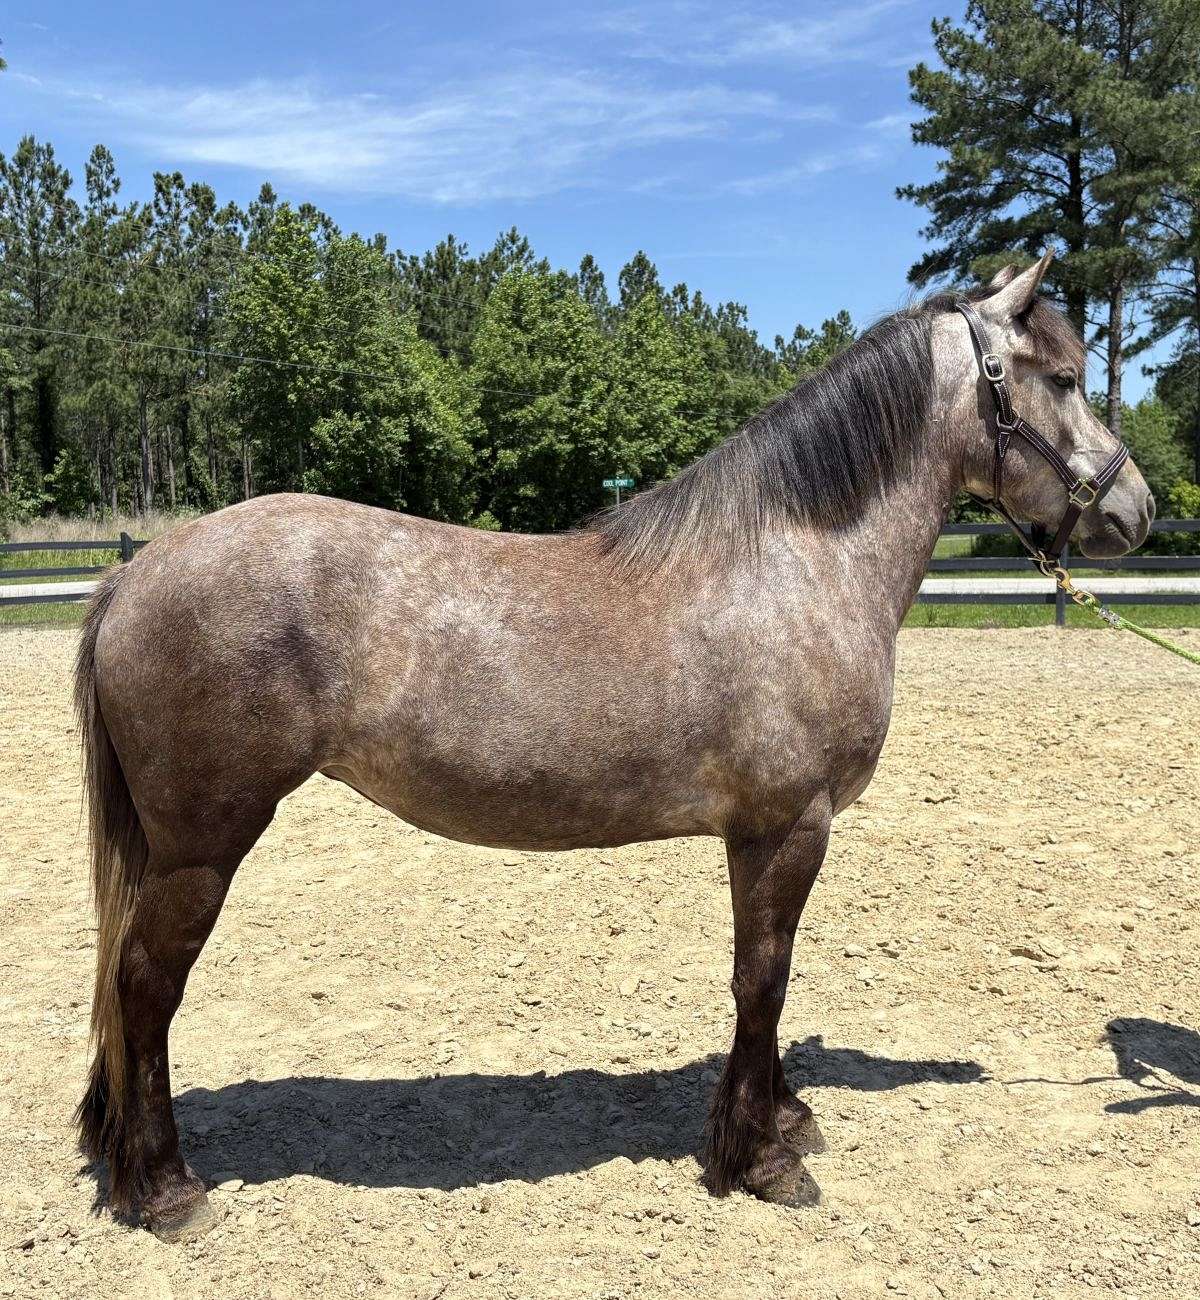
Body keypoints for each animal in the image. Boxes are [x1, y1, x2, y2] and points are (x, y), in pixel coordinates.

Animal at [73, 252, 1153, 1240]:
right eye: (1063, 378)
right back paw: (167, 1190)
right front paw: (764, 1159)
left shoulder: (761, 834)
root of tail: (137, 573)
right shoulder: (787, 826)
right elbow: (763, 977)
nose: (1134, 509)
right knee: (146, 985)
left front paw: (782, 1120)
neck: (794, 564)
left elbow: (765, 976)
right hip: (203, 846)